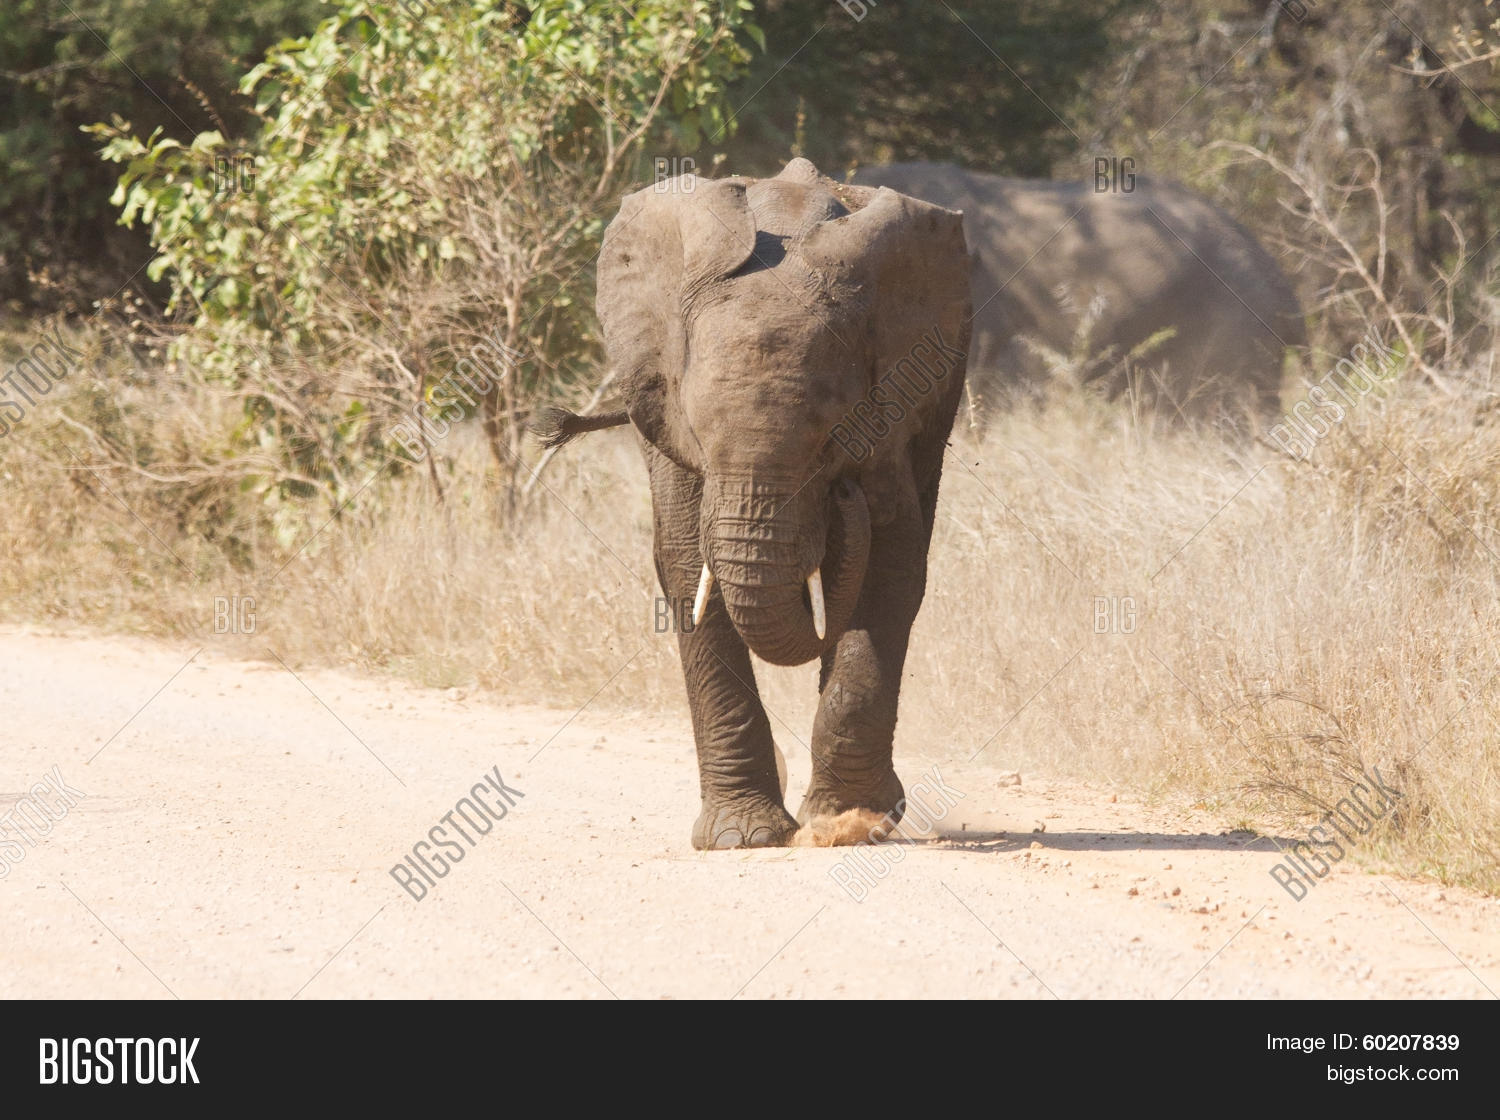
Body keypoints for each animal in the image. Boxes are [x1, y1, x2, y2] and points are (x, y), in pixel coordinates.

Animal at [536, 157, 971, 849]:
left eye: (834, 436)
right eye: (697, 428)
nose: (841, 492)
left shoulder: (900, 404)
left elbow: (893, 564)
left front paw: (848, 823)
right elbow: (685, 565)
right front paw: (742, 838)